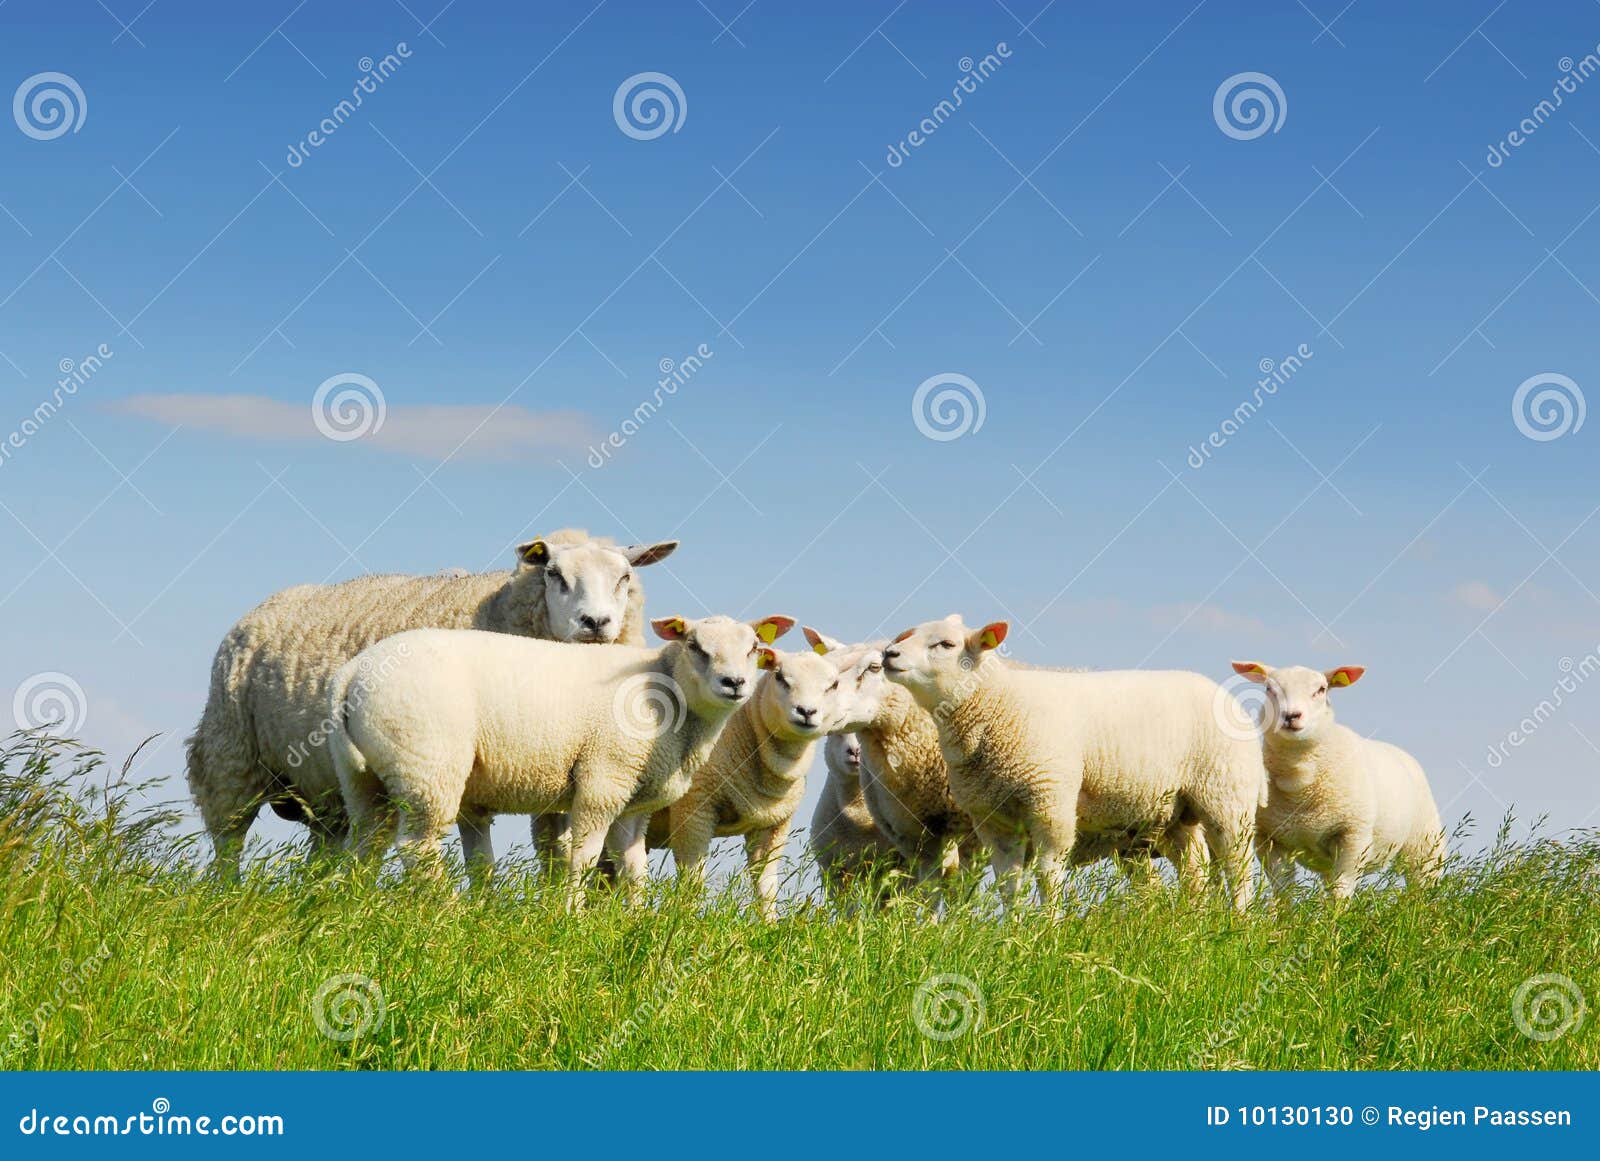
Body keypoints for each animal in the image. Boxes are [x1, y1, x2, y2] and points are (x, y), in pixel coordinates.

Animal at [184, 529, 677, 877]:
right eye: (554, 574)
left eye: (625, 577)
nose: (596, 622)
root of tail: (266, 605)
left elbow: (551, 850)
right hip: (232, 756)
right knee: (228, 841)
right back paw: (230, 896)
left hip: (327, 789)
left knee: (330, 847)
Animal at [330, 614, 795, 902]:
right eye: (694, 645)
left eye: (754, 648)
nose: (734, 683)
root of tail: (353, 673)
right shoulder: (603, 780)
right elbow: (583, 857)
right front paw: (571, 914)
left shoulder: (633, 797)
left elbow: (633, 865)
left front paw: (636, 918)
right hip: (427, 766)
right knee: (416, 847)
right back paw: (449, 911)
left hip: (364, 777)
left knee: (365, 843)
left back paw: (350, 909)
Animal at [641, 646, 847, 920]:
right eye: (780, 677)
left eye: (833, 685)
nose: (806, 712)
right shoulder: (694, 808)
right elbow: (692, 879)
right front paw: (683, 920)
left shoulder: (773, 825)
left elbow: (766, 886)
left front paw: (769, 924)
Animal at [882, 615, 1262, 912]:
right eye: (907, 635)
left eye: (946, 644)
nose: (889, 654)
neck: (997, 704)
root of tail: (1224, 692)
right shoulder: (993, 817)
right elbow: (1008, 883)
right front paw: (1011, 932)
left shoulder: (1050, 800)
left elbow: (1048, 874)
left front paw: (1048, 929)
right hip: (1175, 811)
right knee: (1195, 871)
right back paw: (1192, 922)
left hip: (1227, 796)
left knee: (1237, 866)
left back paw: (1238, 923)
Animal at [1231, 661, 1445, 897]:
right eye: (1269, 689)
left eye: (1321, 689)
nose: (1291, 715)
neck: (1300, 783)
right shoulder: (1270, 839)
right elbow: (1284, 890)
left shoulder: (1353, 836)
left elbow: (1341, 889)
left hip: (1425, 845)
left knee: (1421, 886)